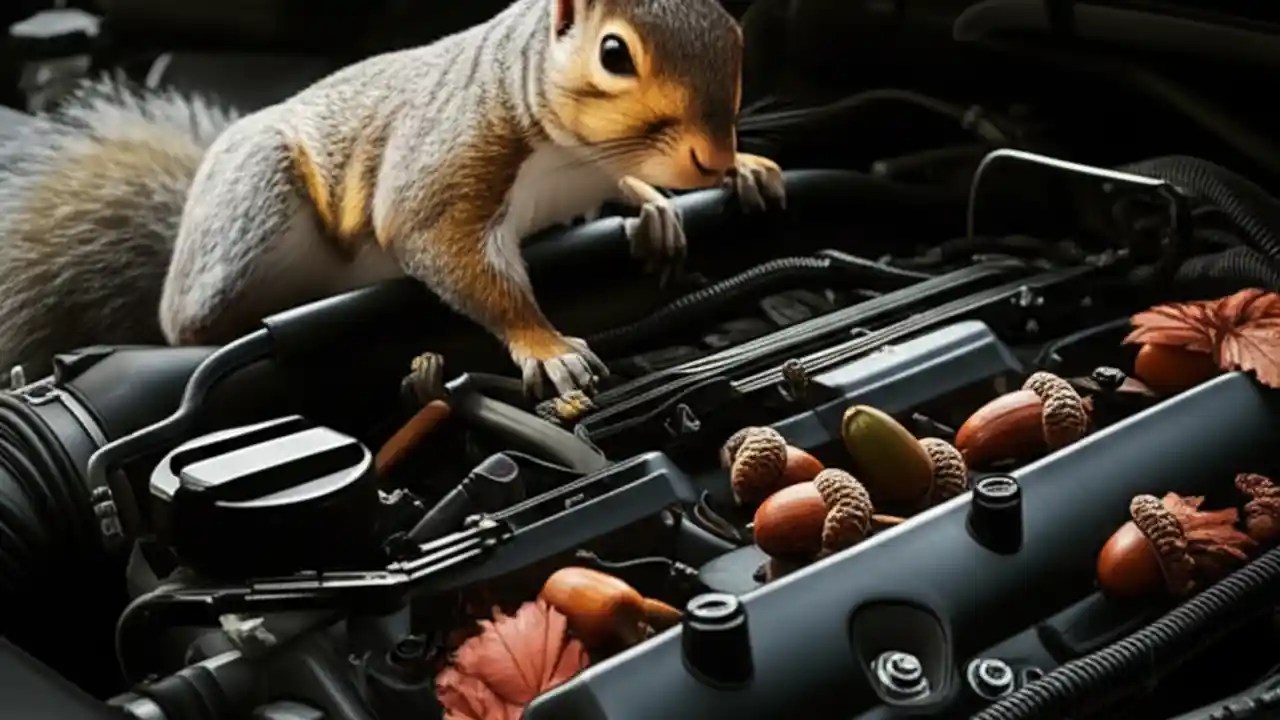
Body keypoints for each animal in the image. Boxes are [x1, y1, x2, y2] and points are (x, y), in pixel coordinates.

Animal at [0, 0, 785, 396]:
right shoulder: (450, 162)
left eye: (736, 32)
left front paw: (708, 187)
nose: (712, 156)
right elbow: (444, 248)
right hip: (252, 211)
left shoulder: (598, 166)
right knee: (186, 322)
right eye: (614, 53)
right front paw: (549, 346)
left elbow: (631, 179)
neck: (570, 157)